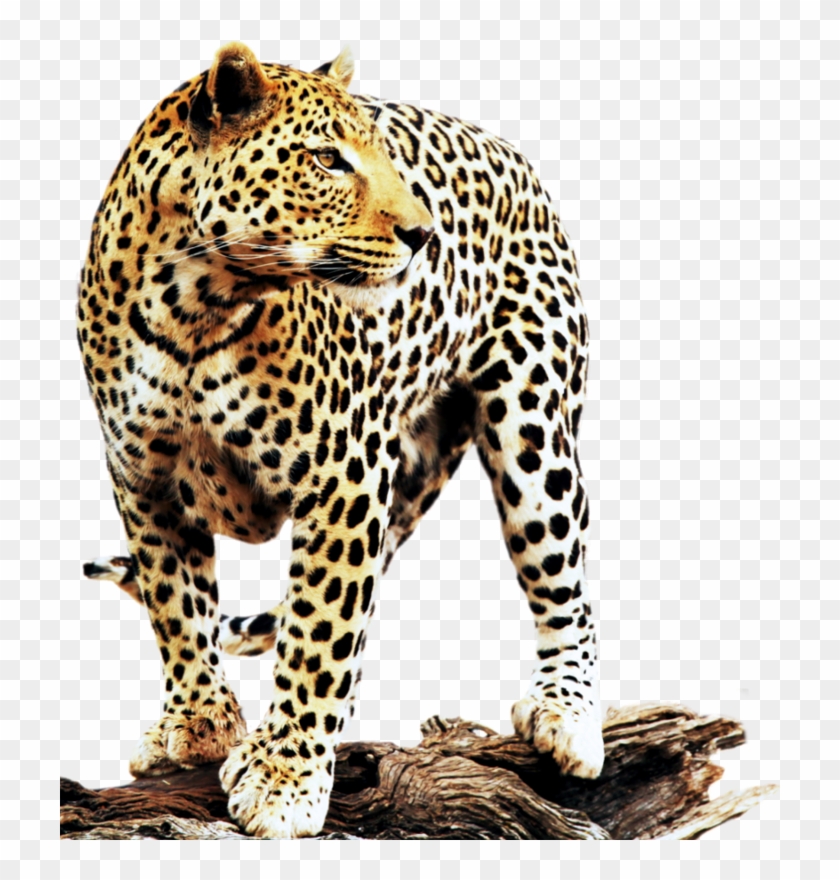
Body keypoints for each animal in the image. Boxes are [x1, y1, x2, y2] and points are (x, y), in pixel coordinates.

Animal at [77, 41, 604, 838]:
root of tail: (514, 155)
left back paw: (566, 712)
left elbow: (319, 633)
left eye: (382, 156)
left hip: (533, 429)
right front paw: (199, 722)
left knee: (564, 583)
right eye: (328, 160)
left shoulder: (343, 475)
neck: (192, 307)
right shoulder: (142, 477)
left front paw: (283, 779)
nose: (424, 236)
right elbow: (177, 605)